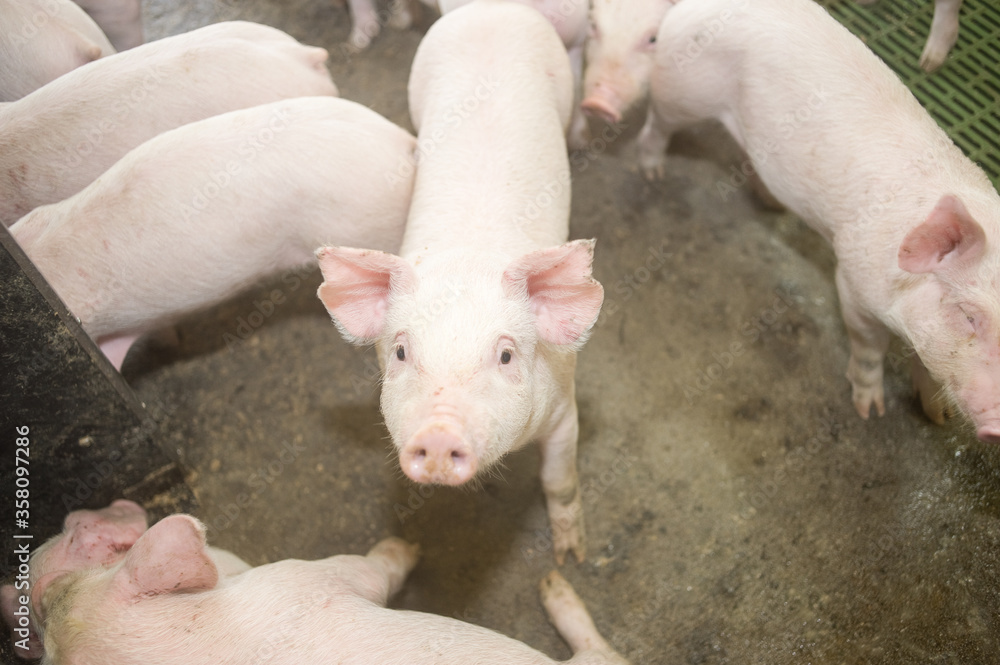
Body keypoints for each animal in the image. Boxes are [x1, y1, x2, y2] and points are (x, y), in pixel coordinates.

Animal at [316, 0, 604, 564]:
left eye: (507, 355)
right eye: (401, 352)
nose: (438, 432)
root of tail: (490, 7)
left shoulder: (567, 407)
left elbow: (560, 479)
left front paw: (573, 558)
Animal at [637, 0, 1000, 441]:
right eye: (969, 316)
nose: (996, 427)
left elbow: (929, 369)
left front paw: (938, 417)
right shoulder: (854, 285)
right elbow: (868, 349)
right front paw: (870, 412)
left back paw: (771, 204)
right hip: (679, 89)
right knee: (655, 126)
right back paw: (652, 174)